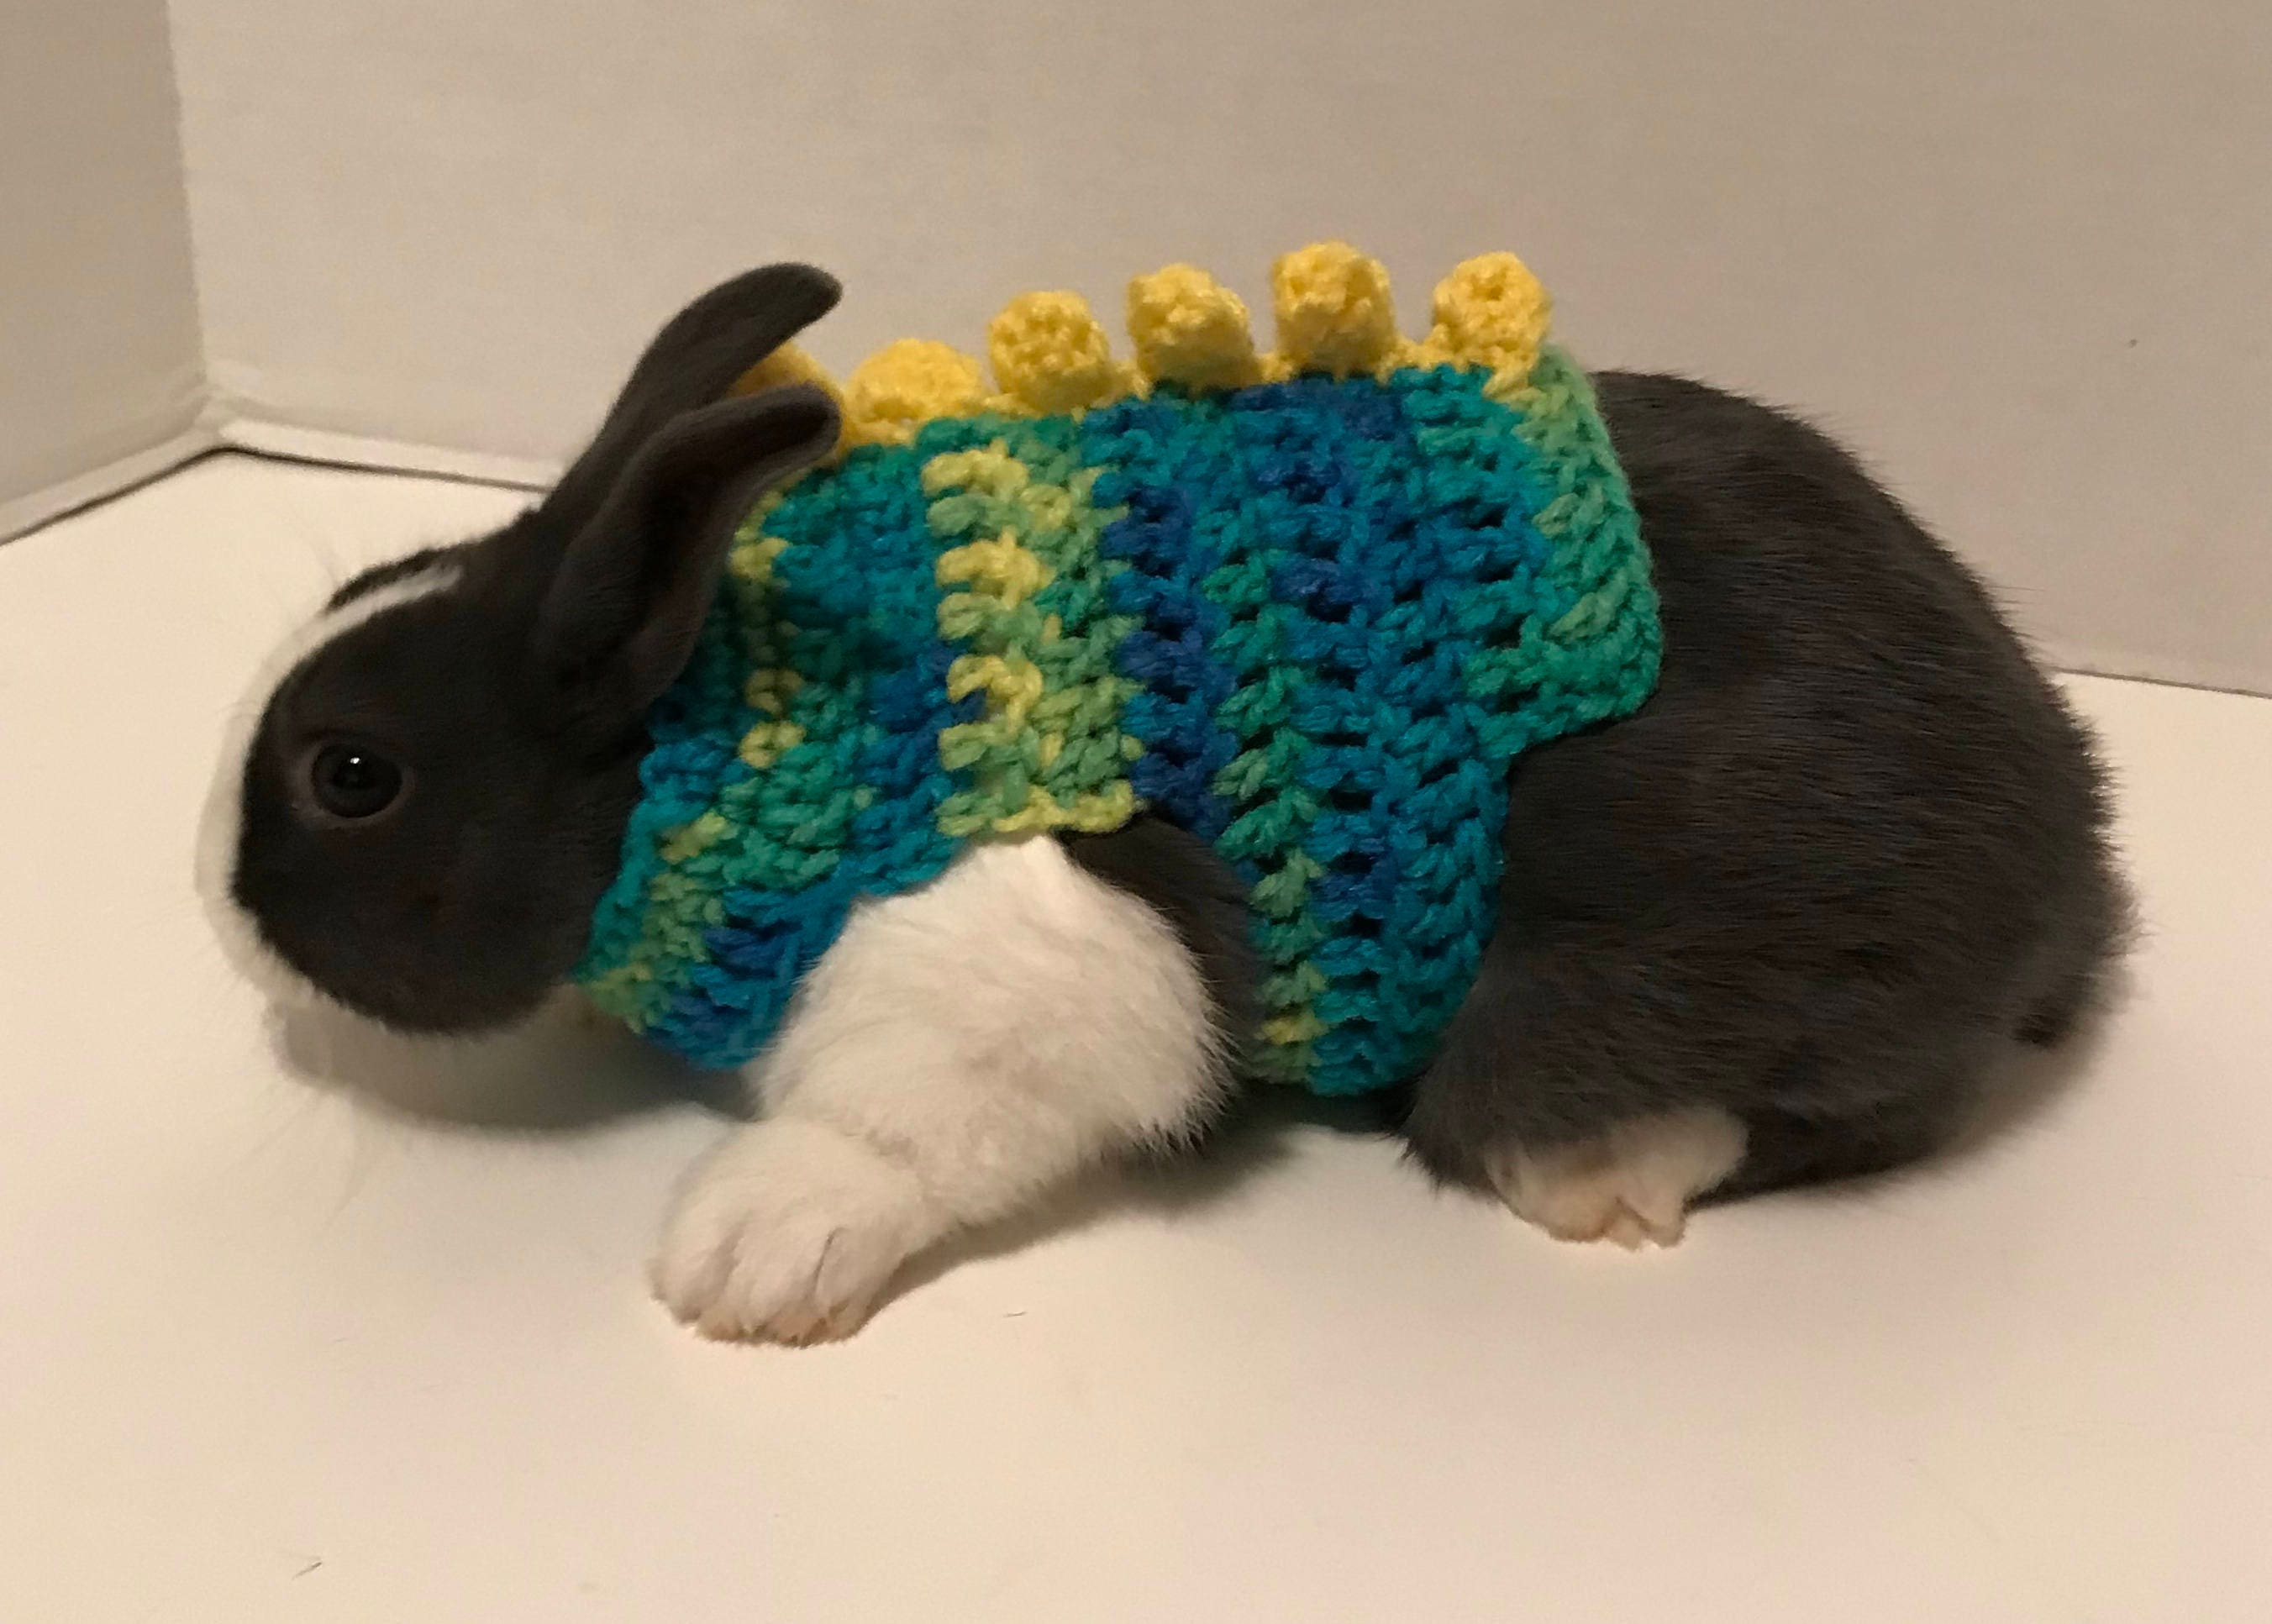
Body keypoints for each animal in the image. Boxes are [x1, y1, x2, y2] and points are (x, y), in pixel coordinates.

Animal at [197, 261, 2125, 1341]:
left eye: (351, 775)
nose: (223, 919)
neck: (722, 741)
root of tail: (2074, 844)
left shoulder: (1026, 945)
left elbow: (898, 1120)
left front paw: (745, 1253)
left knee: (1848, 1104)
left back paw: (1601, 1167)